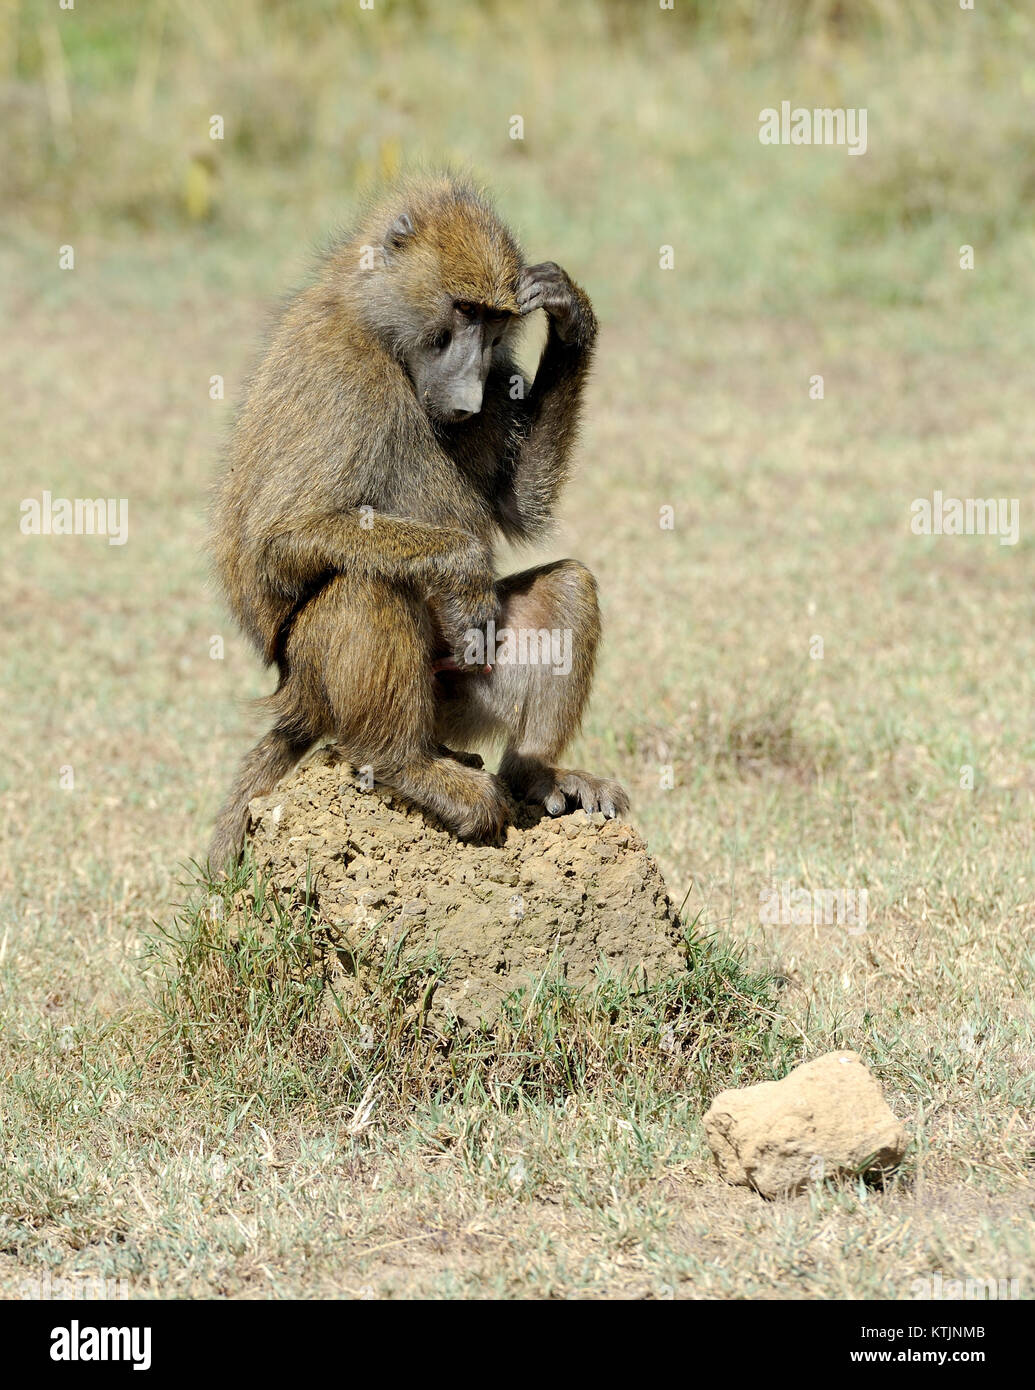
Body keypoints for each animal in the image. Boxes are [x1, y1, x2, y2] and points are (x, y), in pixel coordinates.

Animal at [207, 173, 629, 870]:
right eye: (462, 312)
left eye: (496, 323)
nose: (468, 398)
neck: (384, 335)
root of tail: (295, 699)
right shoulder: (338, 371)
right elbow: (279, 538)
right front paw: (463, 568)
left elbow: (521, 504)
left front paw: (571, 318)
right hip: (322, 679)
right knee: (367, 585)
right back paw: (406, 767)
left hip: (457, 698)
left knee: (569, 585)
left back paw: (534, 775)